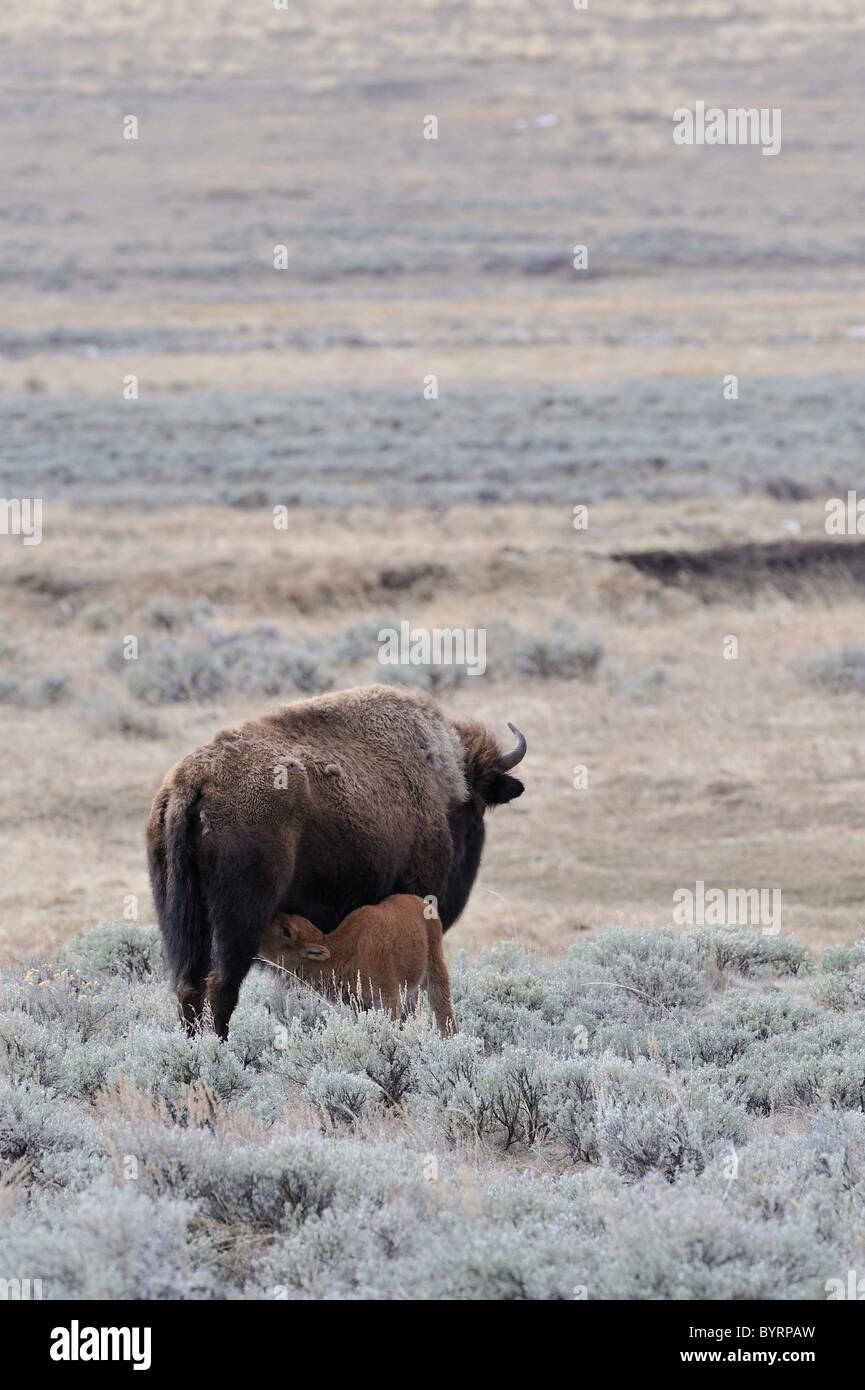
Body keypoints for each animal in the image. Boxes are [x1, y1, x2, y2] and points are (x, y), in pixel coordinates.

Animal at [258, 894, 457, 1036]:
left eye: (286, 931)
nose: (268, 917)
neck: (342, 950)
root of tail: (421, 903)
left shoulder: (389, 997)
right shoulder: (359, 1004)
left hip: (435, 968)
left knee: (442, 1006)